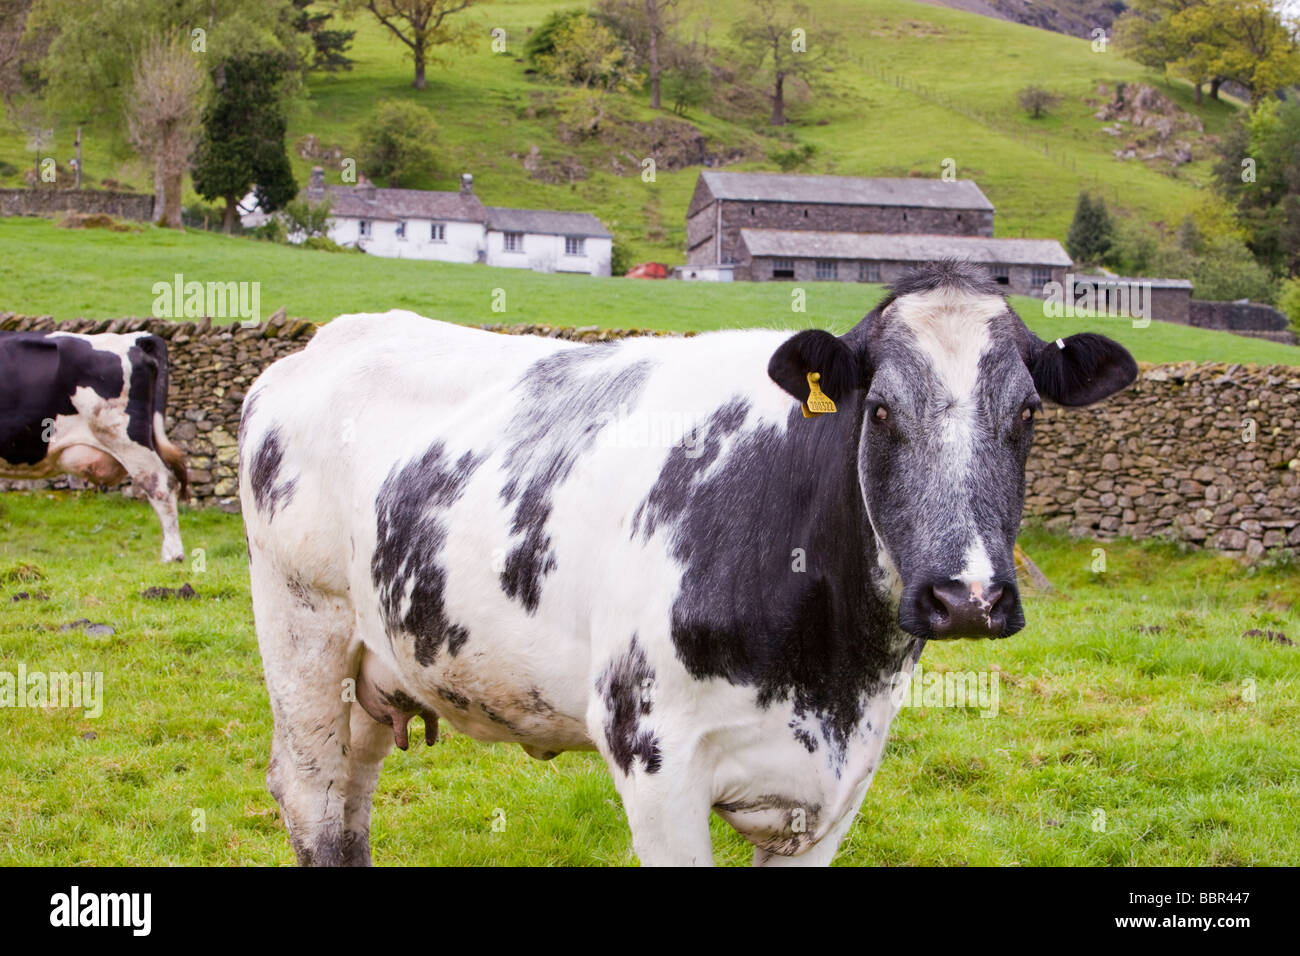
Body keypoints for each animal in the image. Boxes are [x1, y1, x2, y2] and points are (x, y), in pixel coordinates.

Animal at [239, 260, 1137, 866]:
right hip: (302, 629)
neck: (829, 670)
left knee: (352, 799)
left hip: (378, 666)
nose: (968, 598)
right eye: (880, 411)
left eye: (1028, 413)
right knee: (314, 799)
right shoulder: (653, 759)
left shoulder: (841, 786)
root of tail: (331, 337)